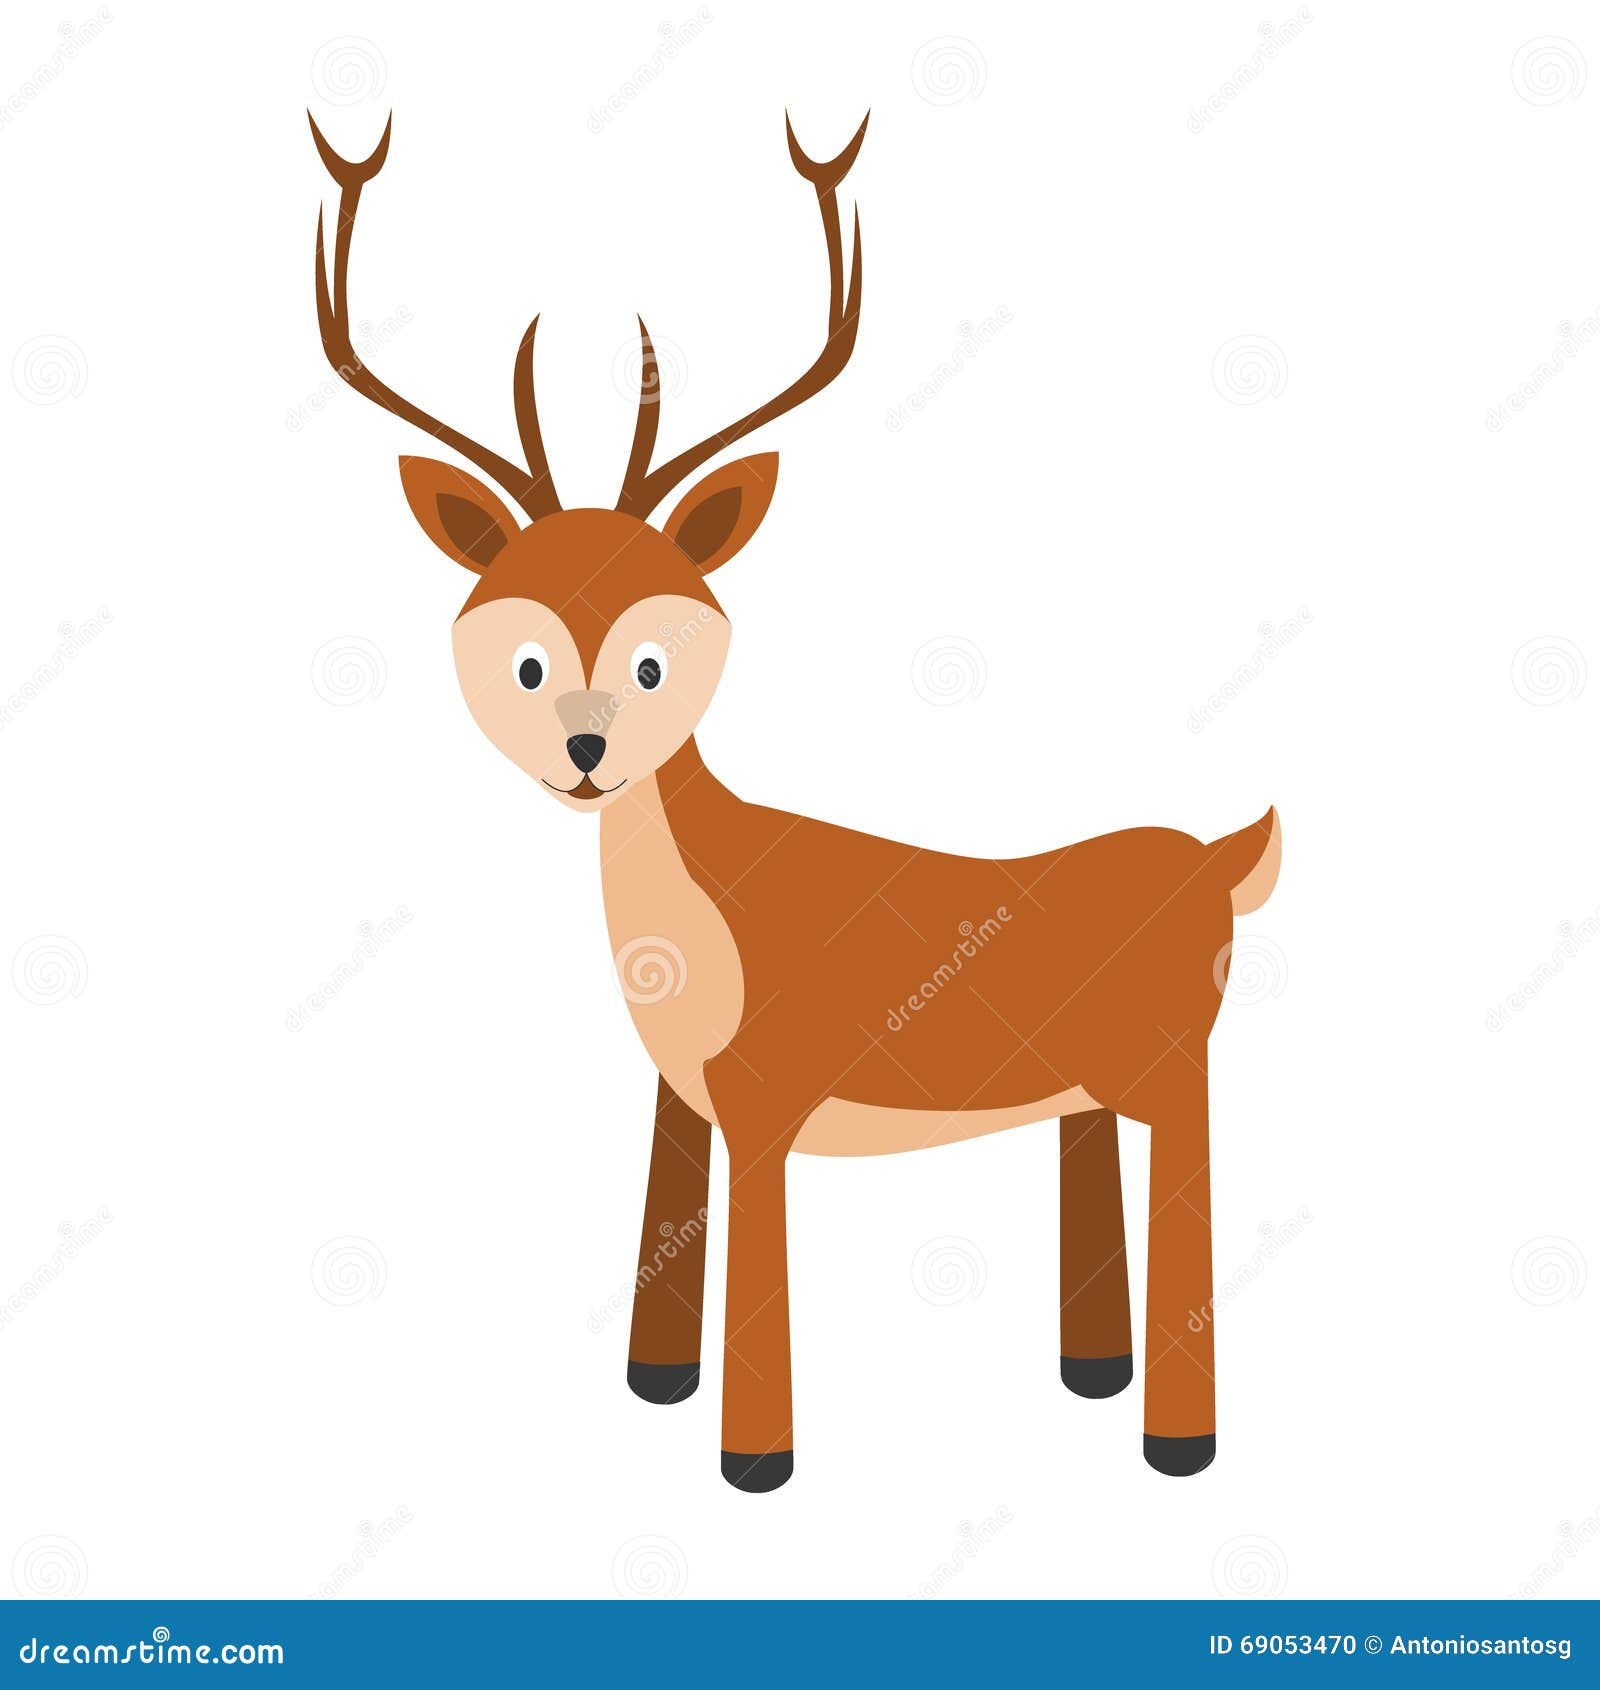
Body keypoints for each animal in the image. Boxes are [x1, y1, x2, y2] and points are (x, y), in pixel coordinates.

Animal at [307, 109, 1282, 1492]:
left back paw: (1176, 1445)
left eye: (654, 659)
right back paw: (1089, 1375)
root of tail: (1216, 856)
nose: (589, 751)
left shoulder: (769, 1101)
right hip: (1083, 1090)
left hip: (1173, 1070)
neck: (703, 912)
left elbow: (756, 1280)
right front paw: (654, 1389)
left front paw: (753, 1465)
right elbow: (666, 1240)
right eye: (527, 659)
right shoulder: (679, 1096)